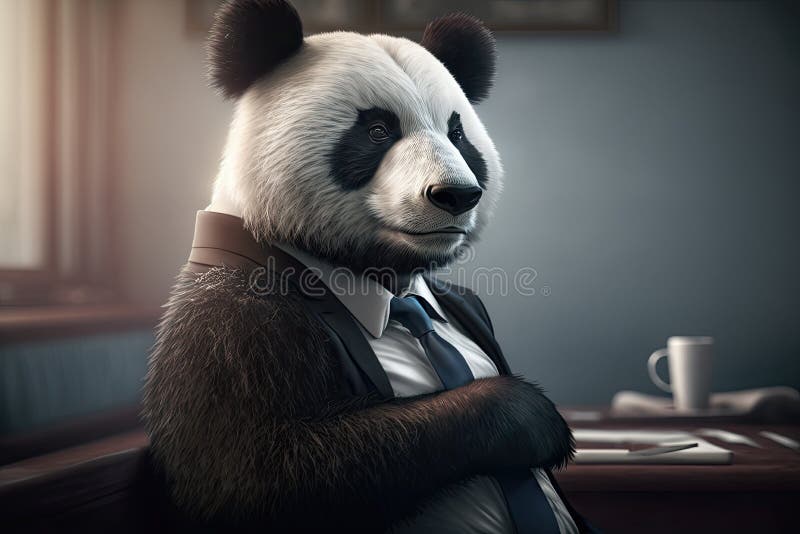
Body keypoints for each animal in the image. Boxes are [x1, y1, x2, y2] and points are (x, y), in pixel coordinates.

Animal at [143, 1, 586, 532]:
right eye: (378, 130)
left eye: (457, 133)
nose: (456, 195)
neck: (379, 272)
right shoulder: (231, 327)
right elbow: (255, 472)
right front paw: (531, 417)